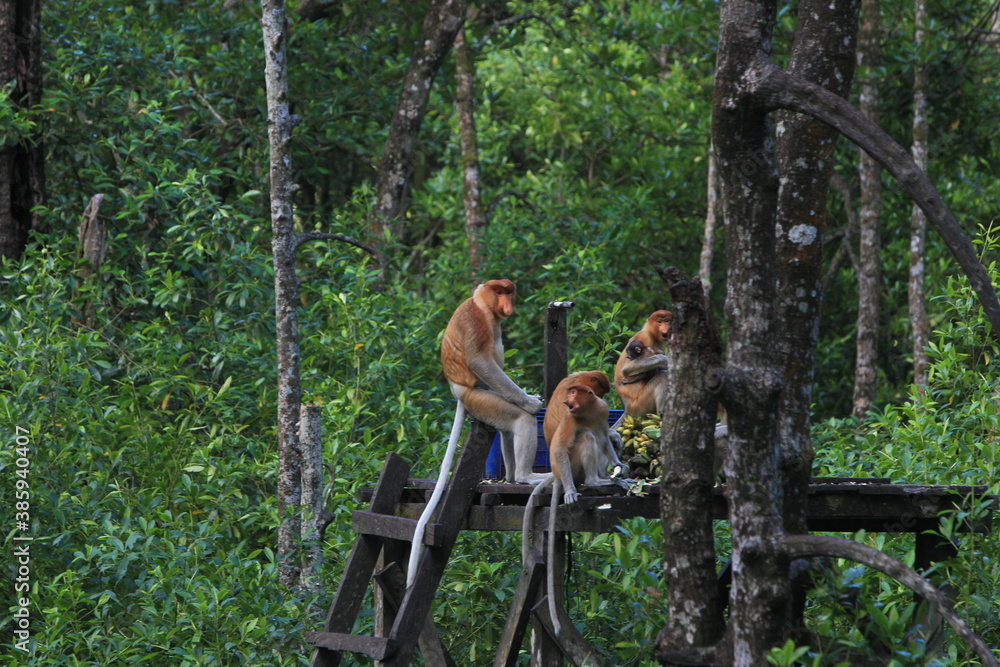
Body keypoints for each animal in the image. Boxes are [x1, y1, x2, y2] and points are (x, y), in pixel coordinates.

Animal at [409, 279, 543, 587]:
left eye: (509, 291)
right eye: (500, 292)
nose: (507, 303)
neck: (483, 303)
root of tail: (459, 393)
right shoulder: (477, 319)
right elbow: (481, 361)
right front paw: (531, 401)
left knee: (506, 429)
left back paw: (510, 478)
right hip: (480, 398)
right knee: (520, 418)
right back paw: (526, 476)